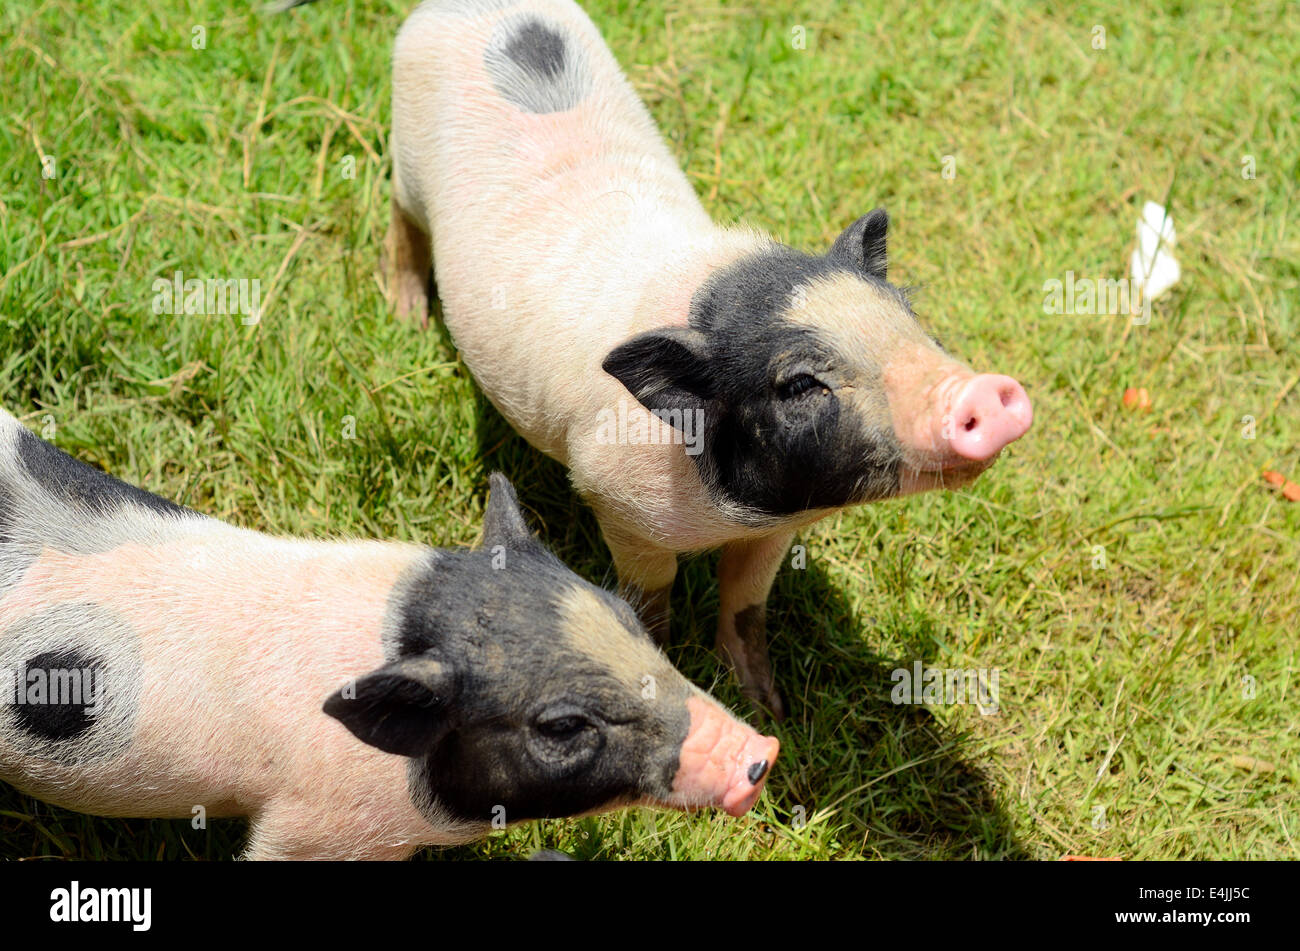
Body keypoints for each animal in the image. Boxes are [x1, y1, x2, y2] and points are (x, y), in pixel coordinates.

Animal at [375, 0, 1034, 719]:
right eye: (799, 383)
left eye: (909, 321)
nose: (982, 391)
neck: (728, 512)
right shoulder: (618, 501)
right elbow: (650, 600)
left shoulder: (775, 530)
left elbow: (747, 601)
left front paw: (770, 706)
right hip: (405, 159)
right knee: (399, 218)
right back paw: (405, 316)